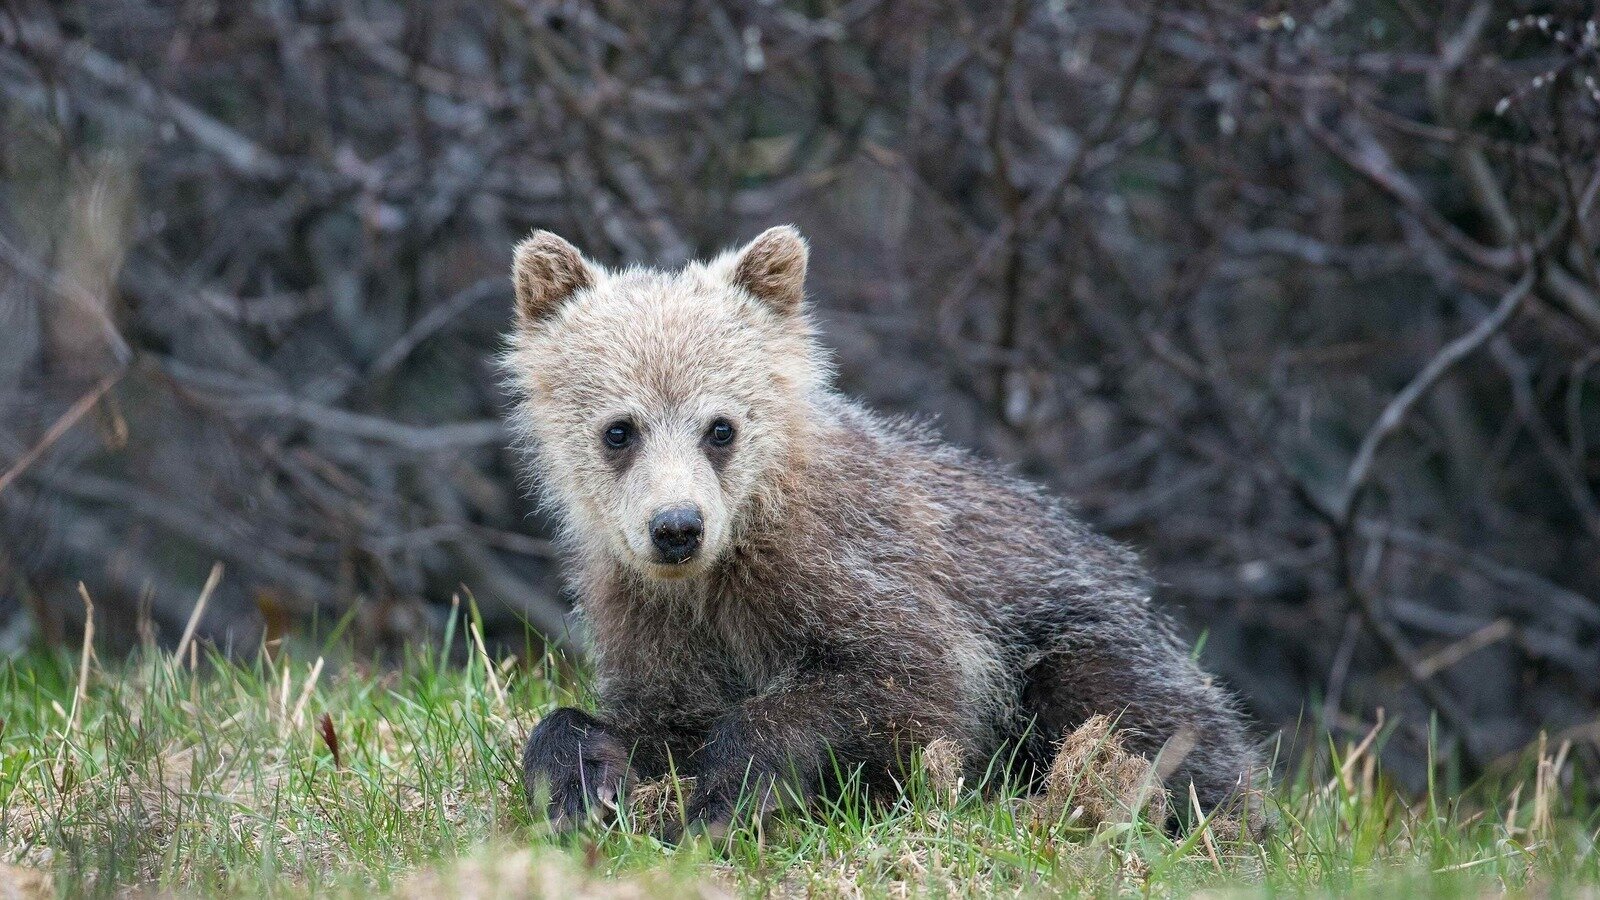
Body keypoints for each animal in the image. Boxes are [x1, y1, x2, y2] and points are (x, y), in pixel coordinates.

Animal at [502, 225, 1262, 838]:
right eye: (619, 429)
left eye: (720, 427)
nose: (677, 528)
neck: (723, 575)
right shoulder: (652, 619)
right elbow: (645, 720)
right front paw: (583, 790)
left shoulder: (861, 572)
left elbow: (903, 688)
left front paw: (722, 802)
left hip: (1088, 636)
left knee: (1138, 716)